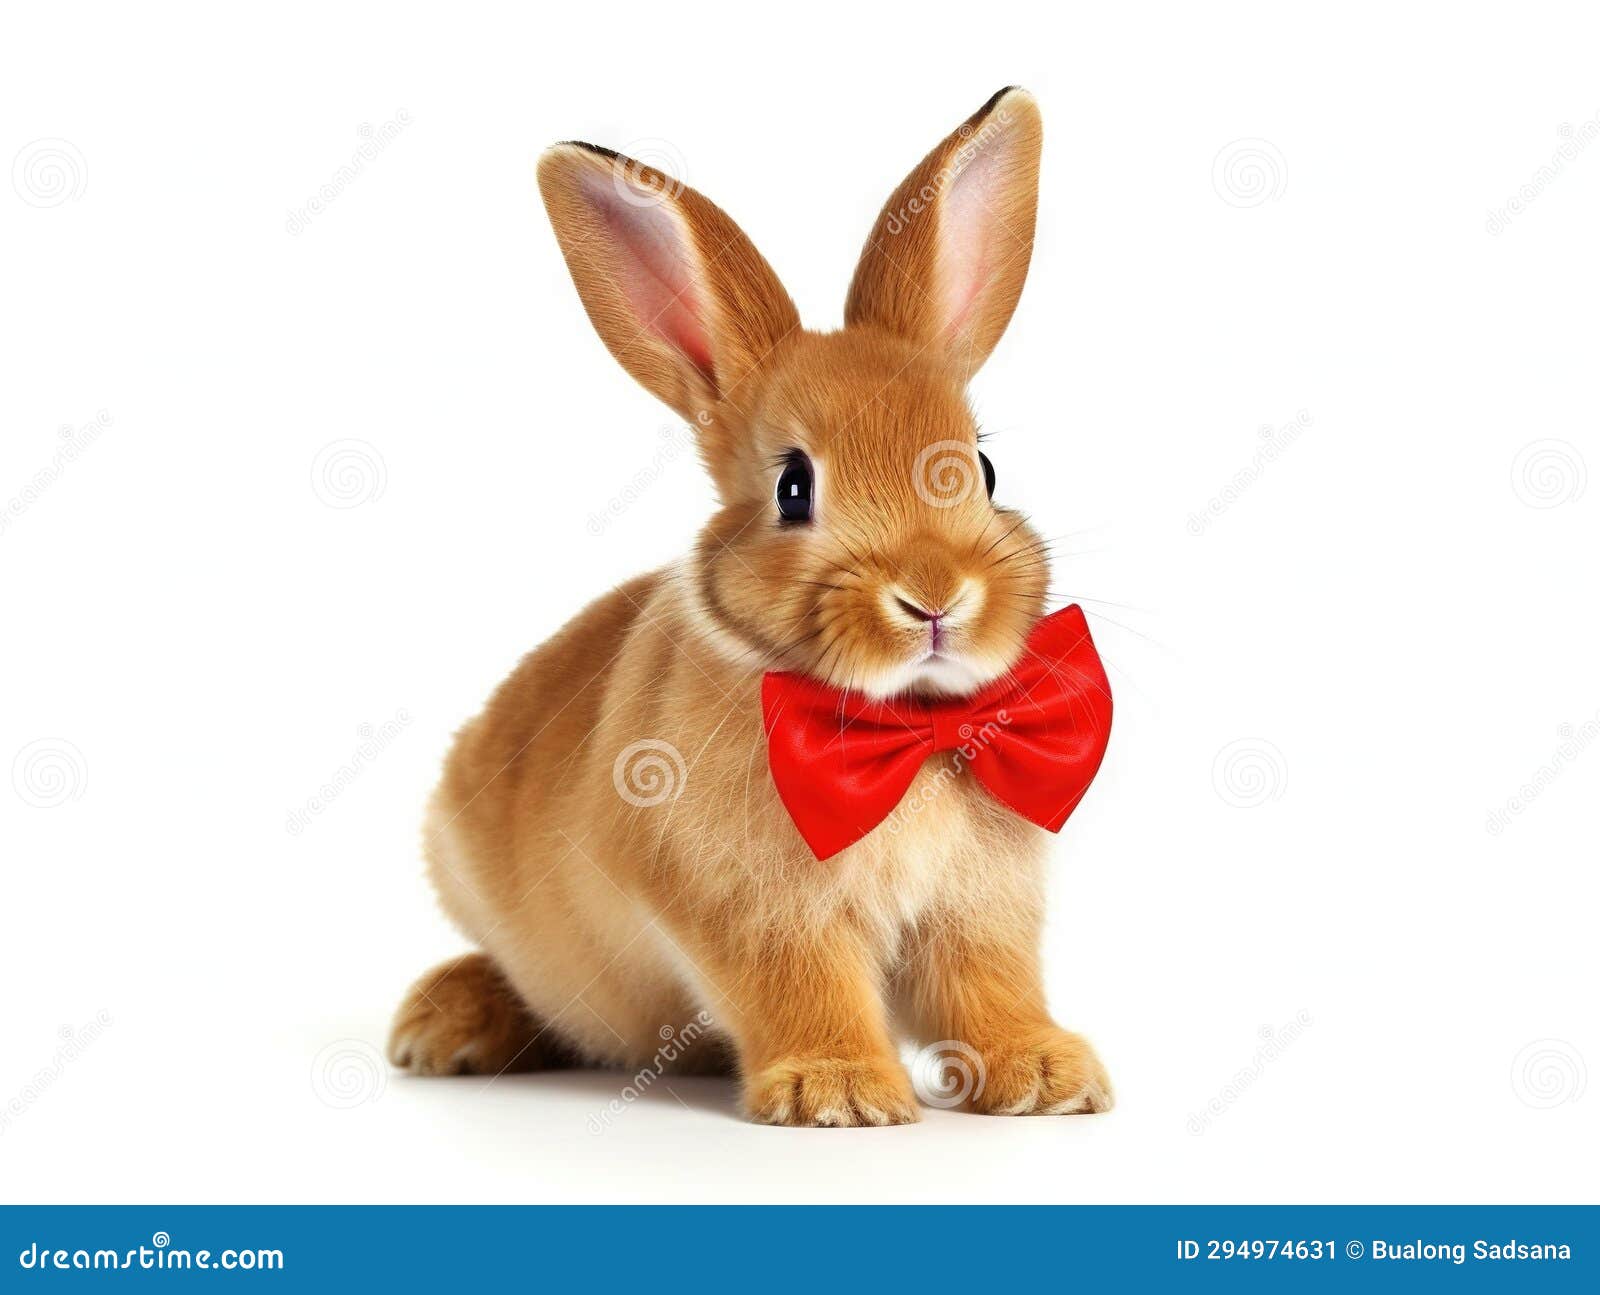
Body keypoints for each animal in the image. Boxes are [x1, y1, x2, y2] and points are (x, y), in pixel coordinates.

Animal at [387, 87, 1113, 1126]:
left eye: (981, 469)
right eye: (793, 488)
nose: (934, 596)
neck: (904, 729)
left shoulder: (977, 912)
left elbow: (988, 989)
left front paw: (1046, 1077)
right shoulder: (747, 906)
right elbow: (799, 986)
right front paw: (839, 1092)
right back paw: (442, 1027)